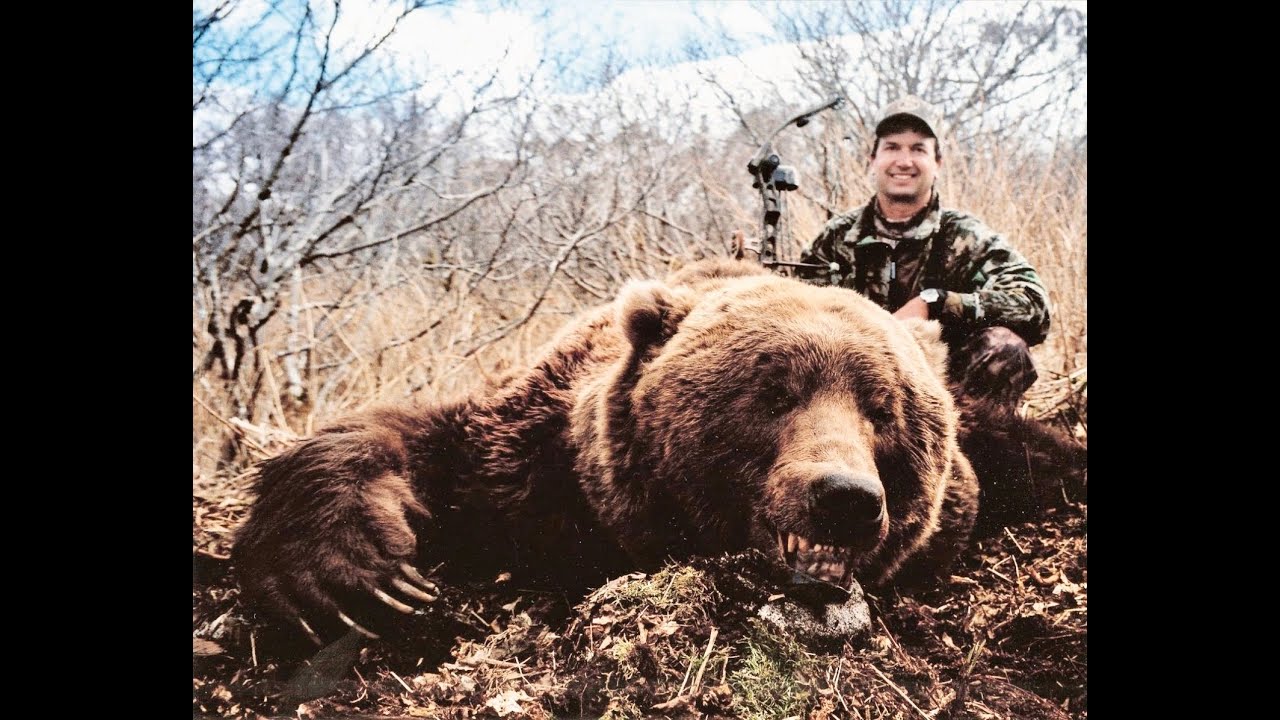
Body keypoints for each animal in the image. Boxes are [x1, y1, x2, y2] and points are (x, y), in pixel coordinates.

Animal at [232, 258, 983, 642]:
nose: (844, 497)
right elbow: (415, 437)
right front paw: (352, 575)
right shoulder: (527, 451)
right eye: (773, 393)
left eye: (882, 409)